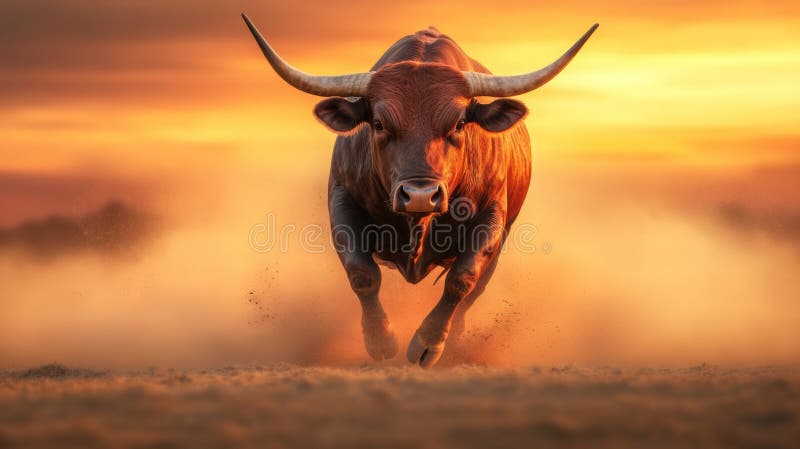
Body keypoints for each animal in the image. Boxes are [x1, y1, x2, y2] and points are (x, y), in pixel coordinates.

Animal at [242, 14, 597, 367]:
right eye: (379, 123)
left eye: (459, 124)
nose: (420, 195)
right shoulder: (342, 200)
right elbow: (362, 273)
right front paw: (381, 341)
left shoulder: (493, 216)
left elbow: (462, 279)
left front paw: (428, 345)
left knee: (474, 290)